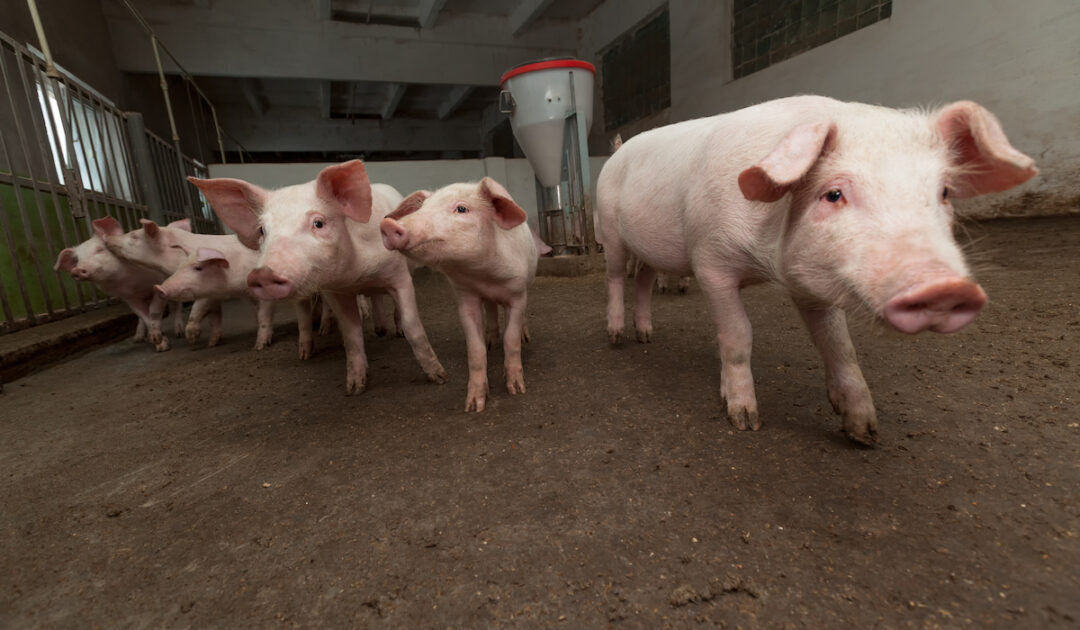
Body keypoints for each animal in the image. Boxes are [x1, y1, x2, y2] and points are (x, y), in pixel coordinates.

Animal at [188, 160, 447, 393]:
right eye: (262, 230)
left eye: (319, 223)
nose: (263, 274)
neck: (357, 274)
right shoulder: (335, 291)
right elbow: (351, 335)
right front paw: (354, 388)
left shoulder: (399, 275)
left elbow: (413, 325)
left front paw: (439, 377)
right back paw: (312, 352)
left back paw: (390, 331)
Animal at [380, 178, 538, 412]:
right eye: (423, 207)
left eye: (462, 209)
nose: (388, 225)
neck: (485, 276)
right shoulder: (466, 297)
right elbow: (475, 350)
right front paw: (473, 406)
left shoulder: (517, 294)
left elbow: (511, 339)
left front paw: (516, 390)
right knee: (491, 310)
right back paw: (491, 342)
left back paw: (523, 336)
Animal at [596, 96, 1037, 444]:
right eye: (833, 194)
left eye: (943, 193)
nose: (944, 287)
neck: (766, 263)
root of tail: (617, 150)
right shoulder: (710, 260)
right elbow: (737, 335)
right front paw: (745, 421)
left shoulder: (811, 284)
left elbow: (839, 345)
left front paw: (865, 433)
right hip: (611, 232)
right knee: (616, 278)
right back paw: (617, 338)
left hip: (650, 249)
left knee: (643, 281)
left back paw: (646, 336)